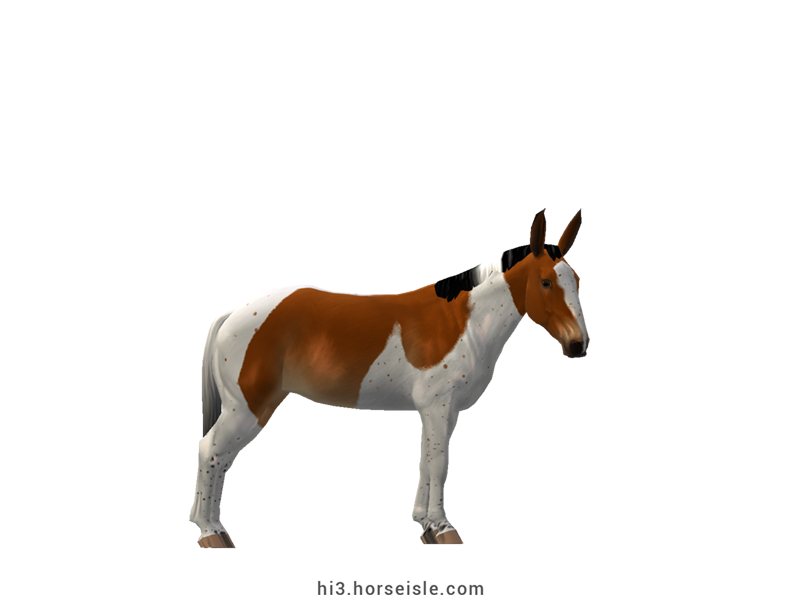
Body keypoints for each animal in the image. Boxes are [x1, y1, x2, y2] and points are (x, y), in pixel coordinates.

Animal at [189, 212, 587, 539]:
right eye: (546, 282)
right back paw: (208, 529)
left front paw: (422, 520)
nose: (577, 344)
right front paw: (441, 524)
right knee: (210, 449)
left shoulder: (439, 410)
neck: (466, 324)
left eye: (574, 281)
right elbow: (439, 463)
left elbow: (428, 459)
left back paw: (205, 522)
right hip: (245, 406)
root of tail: (231, 315)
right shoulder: (437, 404)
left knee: (219, 455)